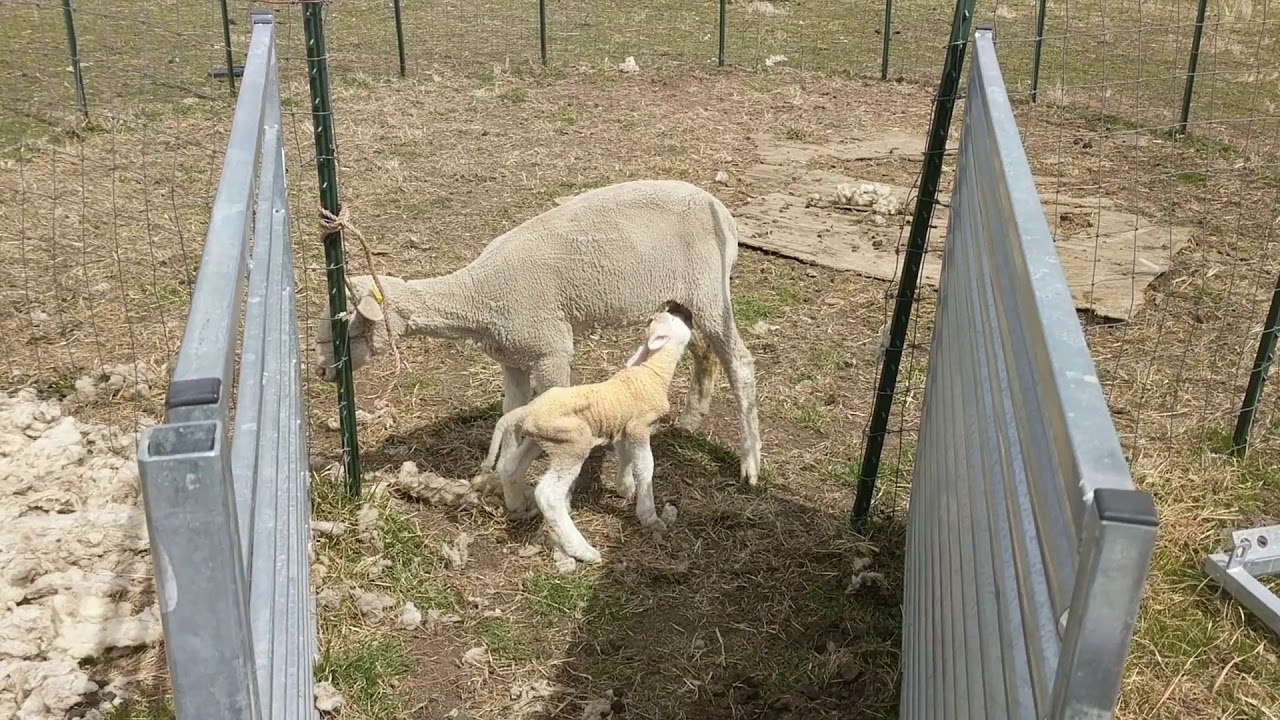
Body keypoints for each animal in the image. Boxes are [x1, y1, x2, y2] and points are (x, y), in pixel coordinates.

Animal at [312, 179, 761, 486]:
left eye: (345, 327)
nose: (321, 372)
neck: (478, 295)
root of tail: (721, 210)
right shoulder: (511, 356)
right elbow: (510, 413)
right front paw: (498, 475)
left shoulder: (549, 349)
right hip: (682, 296)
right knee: (703, 349)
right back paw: (690, 420)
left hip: (709, 287)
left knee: (740, 362)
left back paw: (750, 463)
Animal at [478, 302, 695, 563]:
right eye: (669, 319)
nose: (683, 312)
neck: (653, 373)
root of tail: (528, 409)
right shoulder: (639, 427)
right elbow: (645, 466)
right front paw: (649, 515)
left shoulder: (621, 425)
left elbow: (625, 456)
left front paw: (625, 488)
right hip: (573, 442)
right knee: (548, 494)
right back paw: (582, 550)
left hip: (543, 437)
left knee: (510, 465)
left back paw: (516, 504)